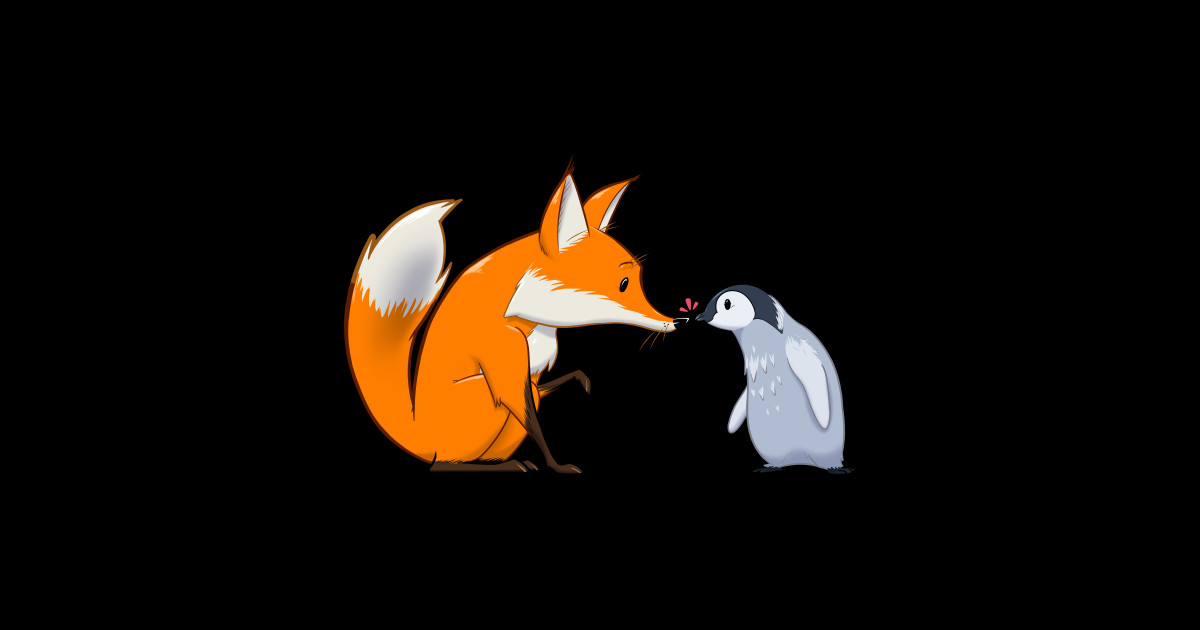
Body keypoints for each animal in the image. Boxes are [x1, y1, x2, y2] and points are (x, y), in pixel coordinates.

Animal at [344, 167, 678, 472]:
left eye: (638, 279)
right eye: (623, 284)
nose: (673, 322)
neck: (528, 318)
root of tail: (420, 435)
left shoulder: (533, 373)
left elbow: (544, 390)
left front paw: (580, 380)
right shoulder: (504, 356)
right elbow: (532, 421)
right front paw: (557, 466)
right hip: (479, 395)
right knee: (442, 464)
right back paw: (502, 466)